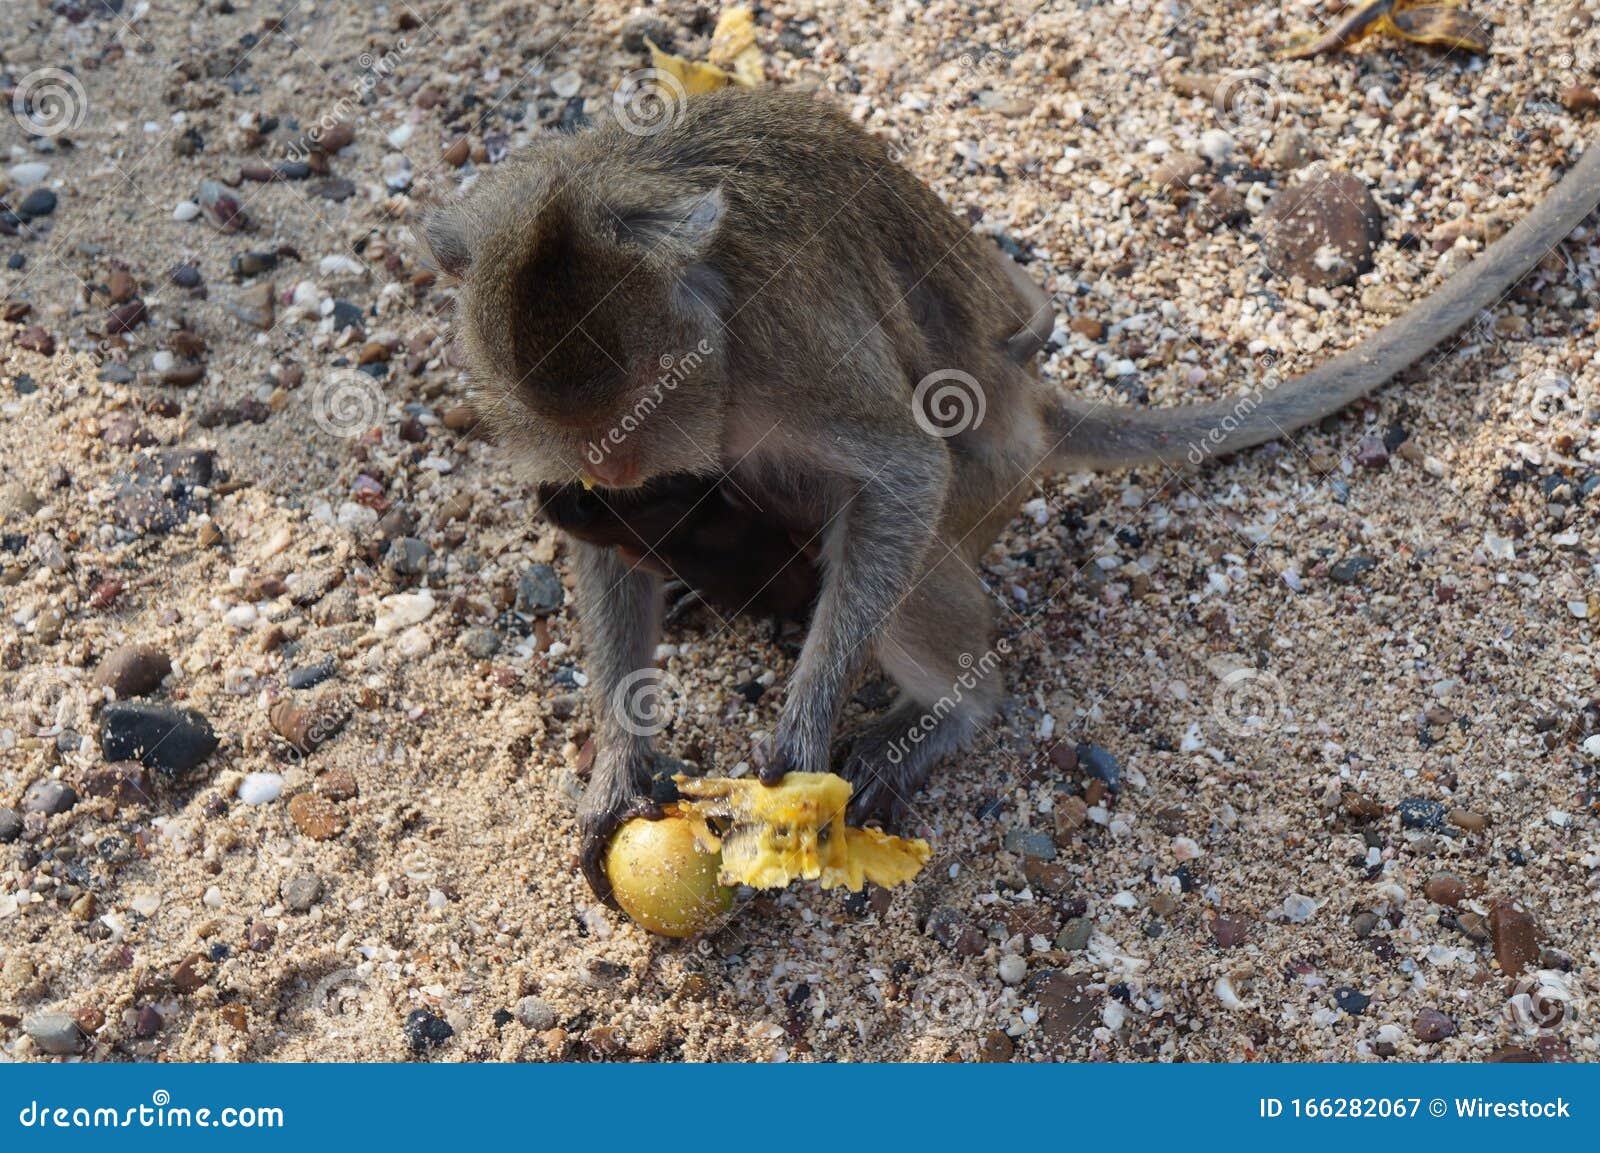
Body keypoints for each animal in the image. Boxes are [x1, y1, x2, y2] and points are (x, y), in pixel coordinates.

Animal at [420, 87, 1600, 907]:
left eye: (634, 414)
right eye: (592, 439)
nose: (620, 476)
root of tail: (1036, 408)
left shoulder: (785, 352)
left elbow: (901, 471)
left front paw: (796, 746)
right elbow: (597, 544)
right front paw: (622, 760)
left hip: (988, 479)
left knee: (911, 540)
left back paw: (949, 703)